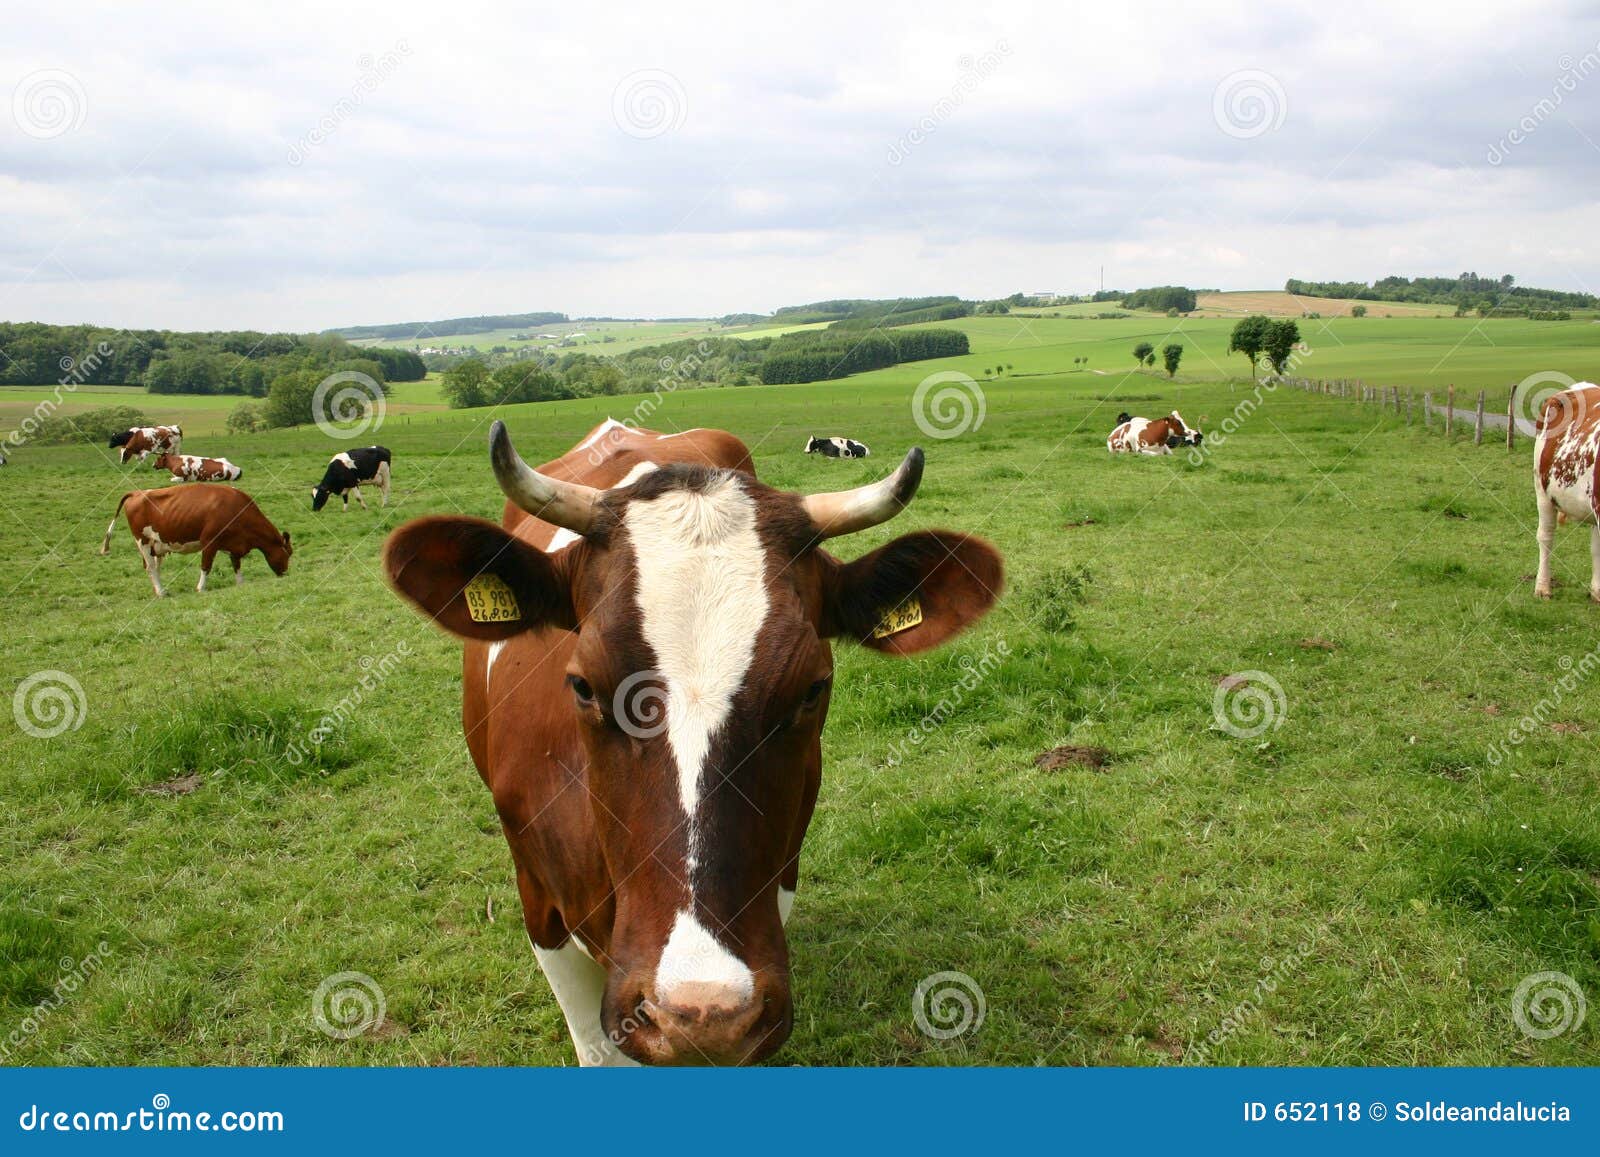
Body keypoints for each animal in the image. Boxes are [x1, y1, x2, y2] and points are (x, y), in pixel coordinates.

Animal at [100, 485, 292, 598]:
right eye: (287, 554)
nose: (285, 574)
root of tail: (136, 493)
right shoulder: (210, 542)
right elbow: (206, 567)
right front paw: (201, 588)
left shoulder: (234, 544)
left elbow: (236, 565)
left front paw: (240, 583)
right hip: (143, 541)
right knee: (151, 568)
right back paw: (161, 592)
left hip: (157, 545)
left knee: (155, 567)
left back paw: (160, 590)